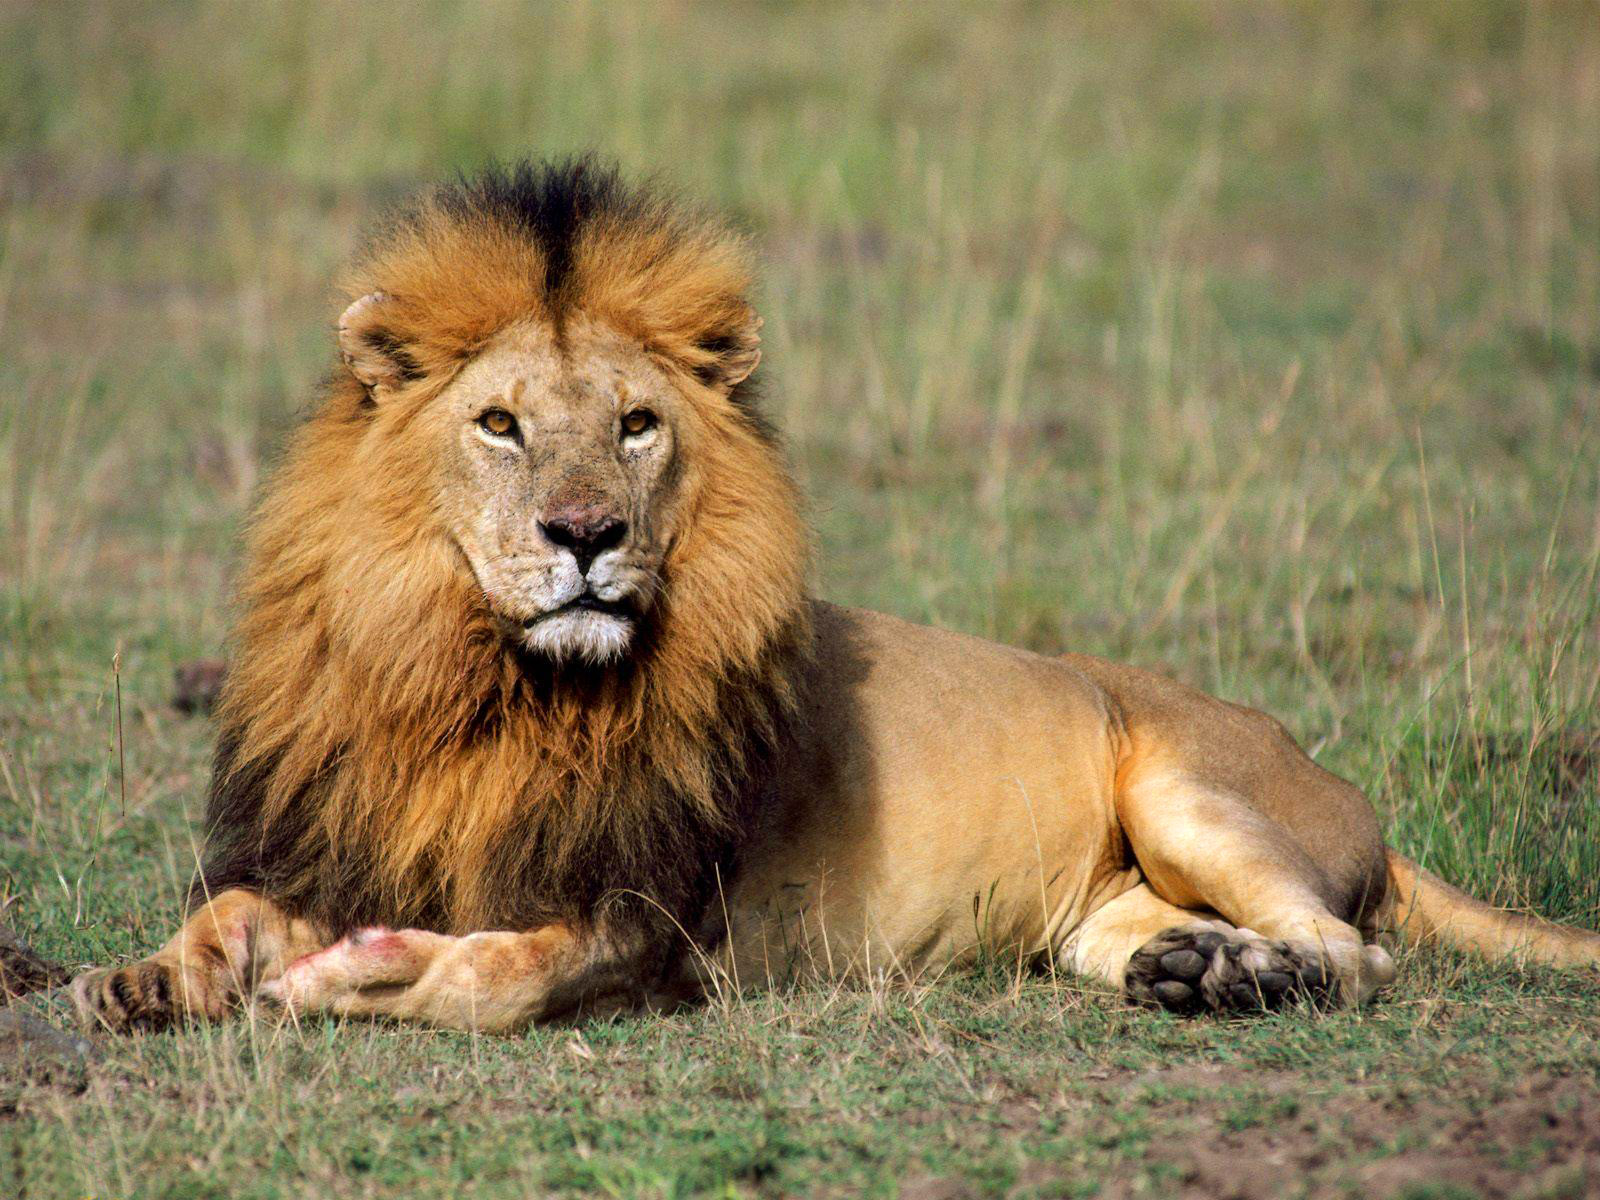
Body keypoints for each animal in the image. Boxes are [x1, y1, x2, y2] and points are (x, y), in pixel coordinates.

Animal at [73, 158, 1600, 1034]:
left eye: (635, 424)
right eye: (500, 425)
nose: (586, 534)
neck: (484, 687)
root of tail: (1347, 793)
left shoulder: (650, 922)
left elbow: (489, 979)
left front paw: (363, 978)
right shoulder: (341, 833)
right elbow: (222, 918)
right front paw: (137, 979)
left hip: (1190, 787)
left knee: (1357, 951)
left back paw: (1252, 980)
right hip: (1100, 909)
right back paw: (1197, 972)